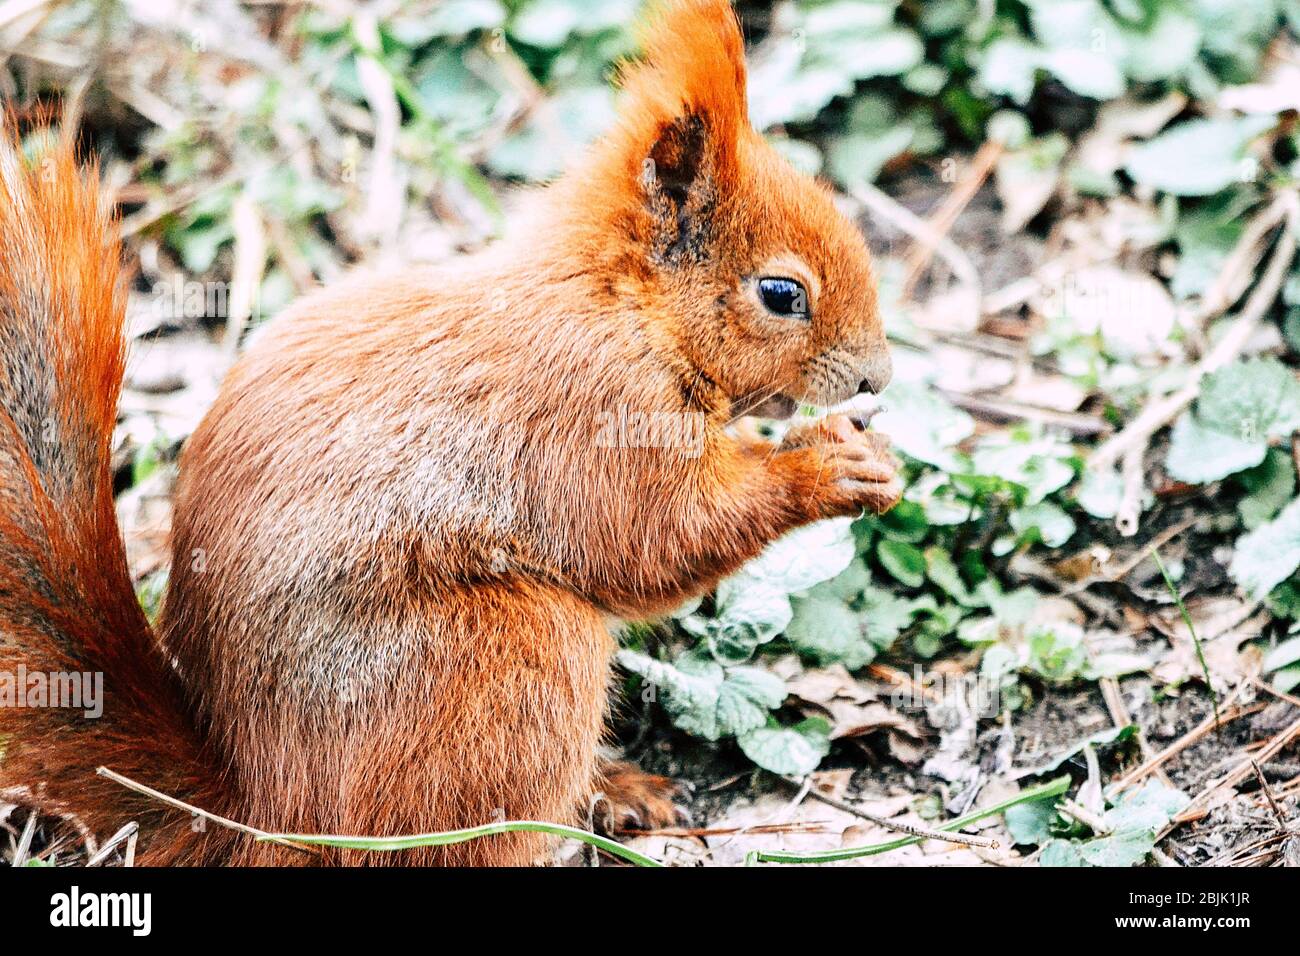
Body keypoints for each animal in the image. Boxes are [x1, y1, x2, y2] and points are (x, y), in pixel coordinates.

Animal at [0, 0, 898, 866]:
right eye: (781, 293)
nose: (878, 377)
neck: (622, 307)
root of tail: (262, 812)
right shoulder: (592, 417)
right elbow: (658, 539)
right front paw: (827, 469)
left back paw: (619, 790)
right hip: (515, 658)